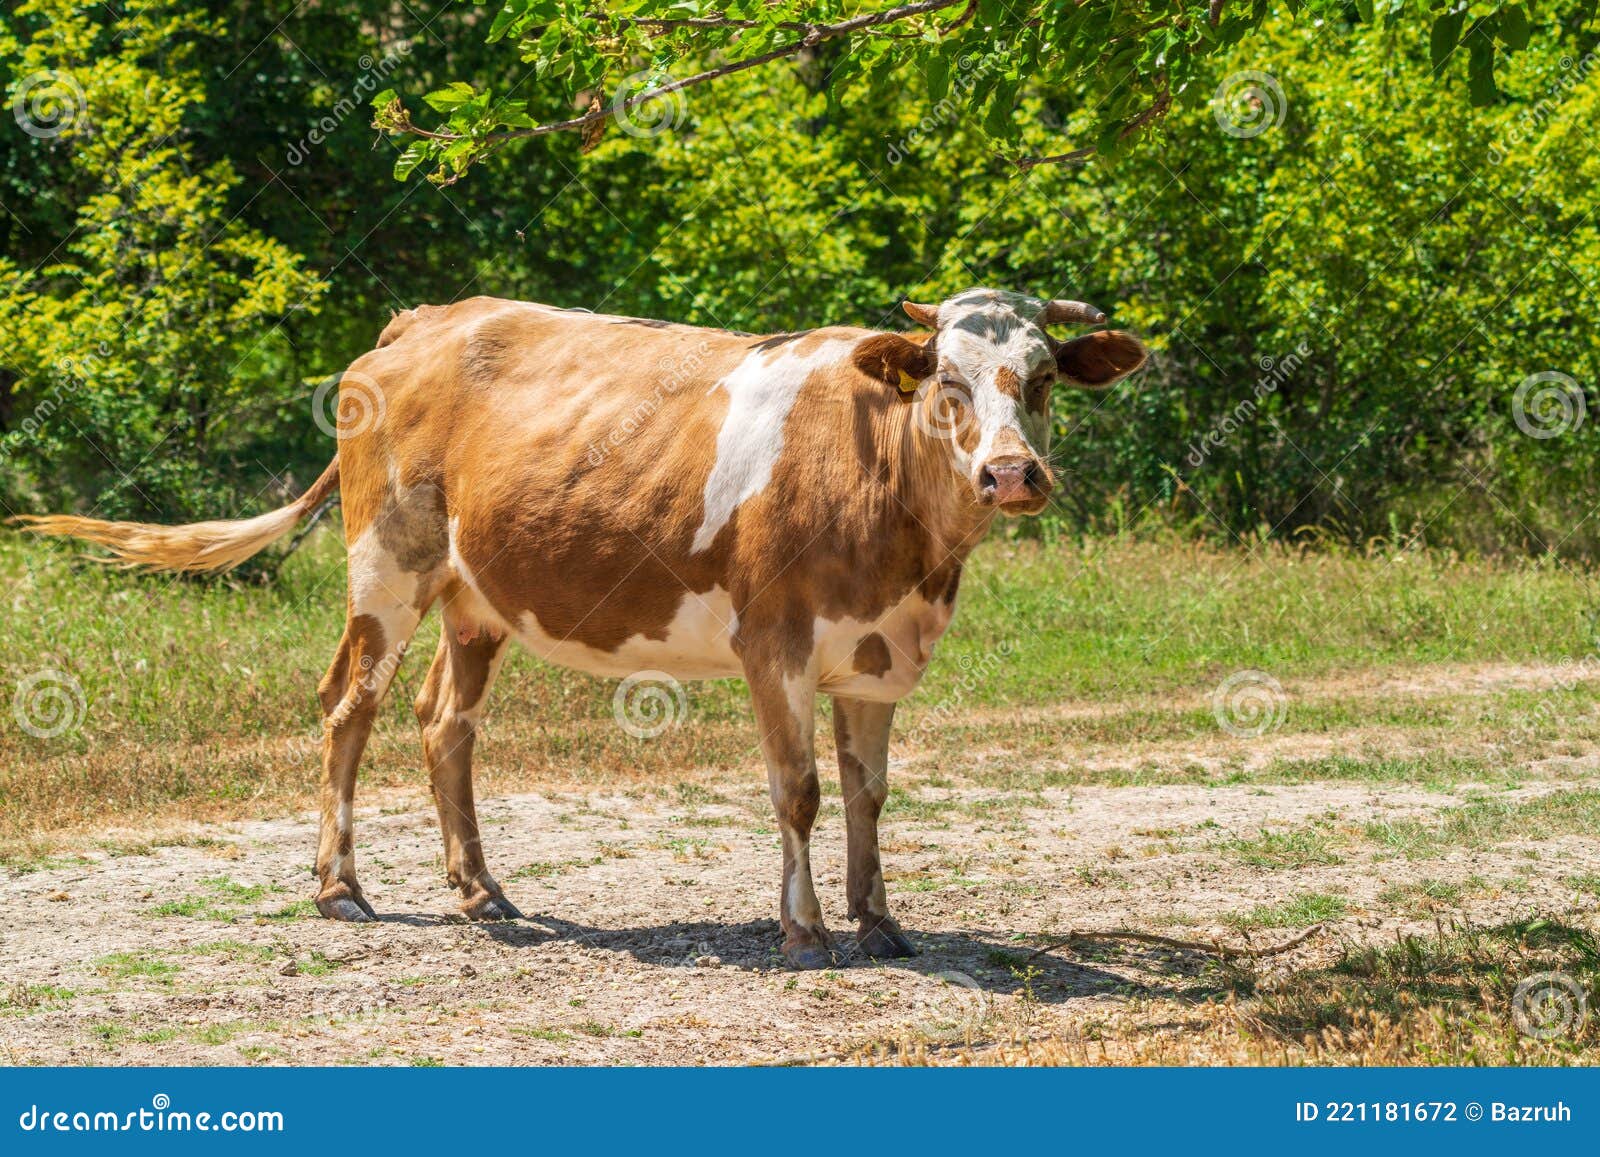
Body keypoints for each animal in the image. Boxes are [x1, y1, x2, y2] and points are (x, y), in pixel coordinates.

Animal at [19, 288, 1147, 969]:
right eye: (948, 380)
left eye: (1044, 379)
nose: (1011, 474)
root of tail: (426, 319)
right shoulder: (773, 642)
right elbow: (800, 791)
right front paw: (804, 929)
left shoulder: (875, 656)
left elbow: (868, 792)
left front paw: (879, 921)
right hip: (388, 560)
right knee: (351, 703)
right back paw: (341, 887)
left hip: (475, 596)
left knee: (443, 721)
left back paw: (480, 890)